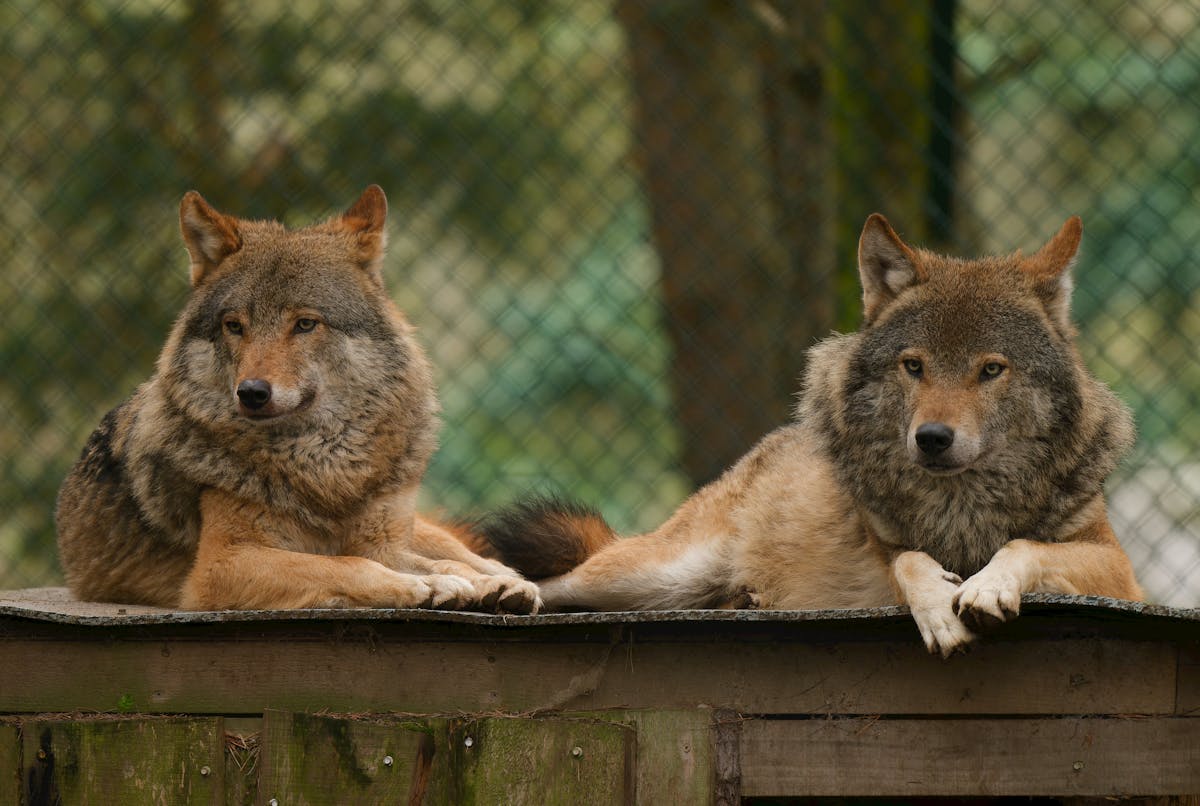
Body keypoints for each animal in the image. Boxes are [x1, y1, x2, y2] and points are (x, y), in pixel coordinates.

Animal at [56, 186, 540, 614]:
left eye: (305, 324)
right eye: (234, 326)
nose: (251, 393)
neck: (323, 467)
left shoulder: (383, 542)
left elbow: (430, 563)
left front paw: (471, 584)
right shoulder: (222, 564)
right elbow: (351, 564)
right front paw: (428, 587)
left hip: (410, 522)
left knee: (464, 552)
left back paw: (505, 579)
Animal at [470, 214, 1143, 655]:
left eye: (991, 369)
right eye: (914, 366)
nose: (932, 437)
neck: (961, 510)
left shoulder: (1121, 571)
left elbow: (1026, 546)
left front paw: (987, 584)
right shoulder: (876, 562)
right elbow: (908, 560)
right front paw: (937, 605)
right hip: (652, 572)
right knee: (554, 582)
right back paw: (500, 593)